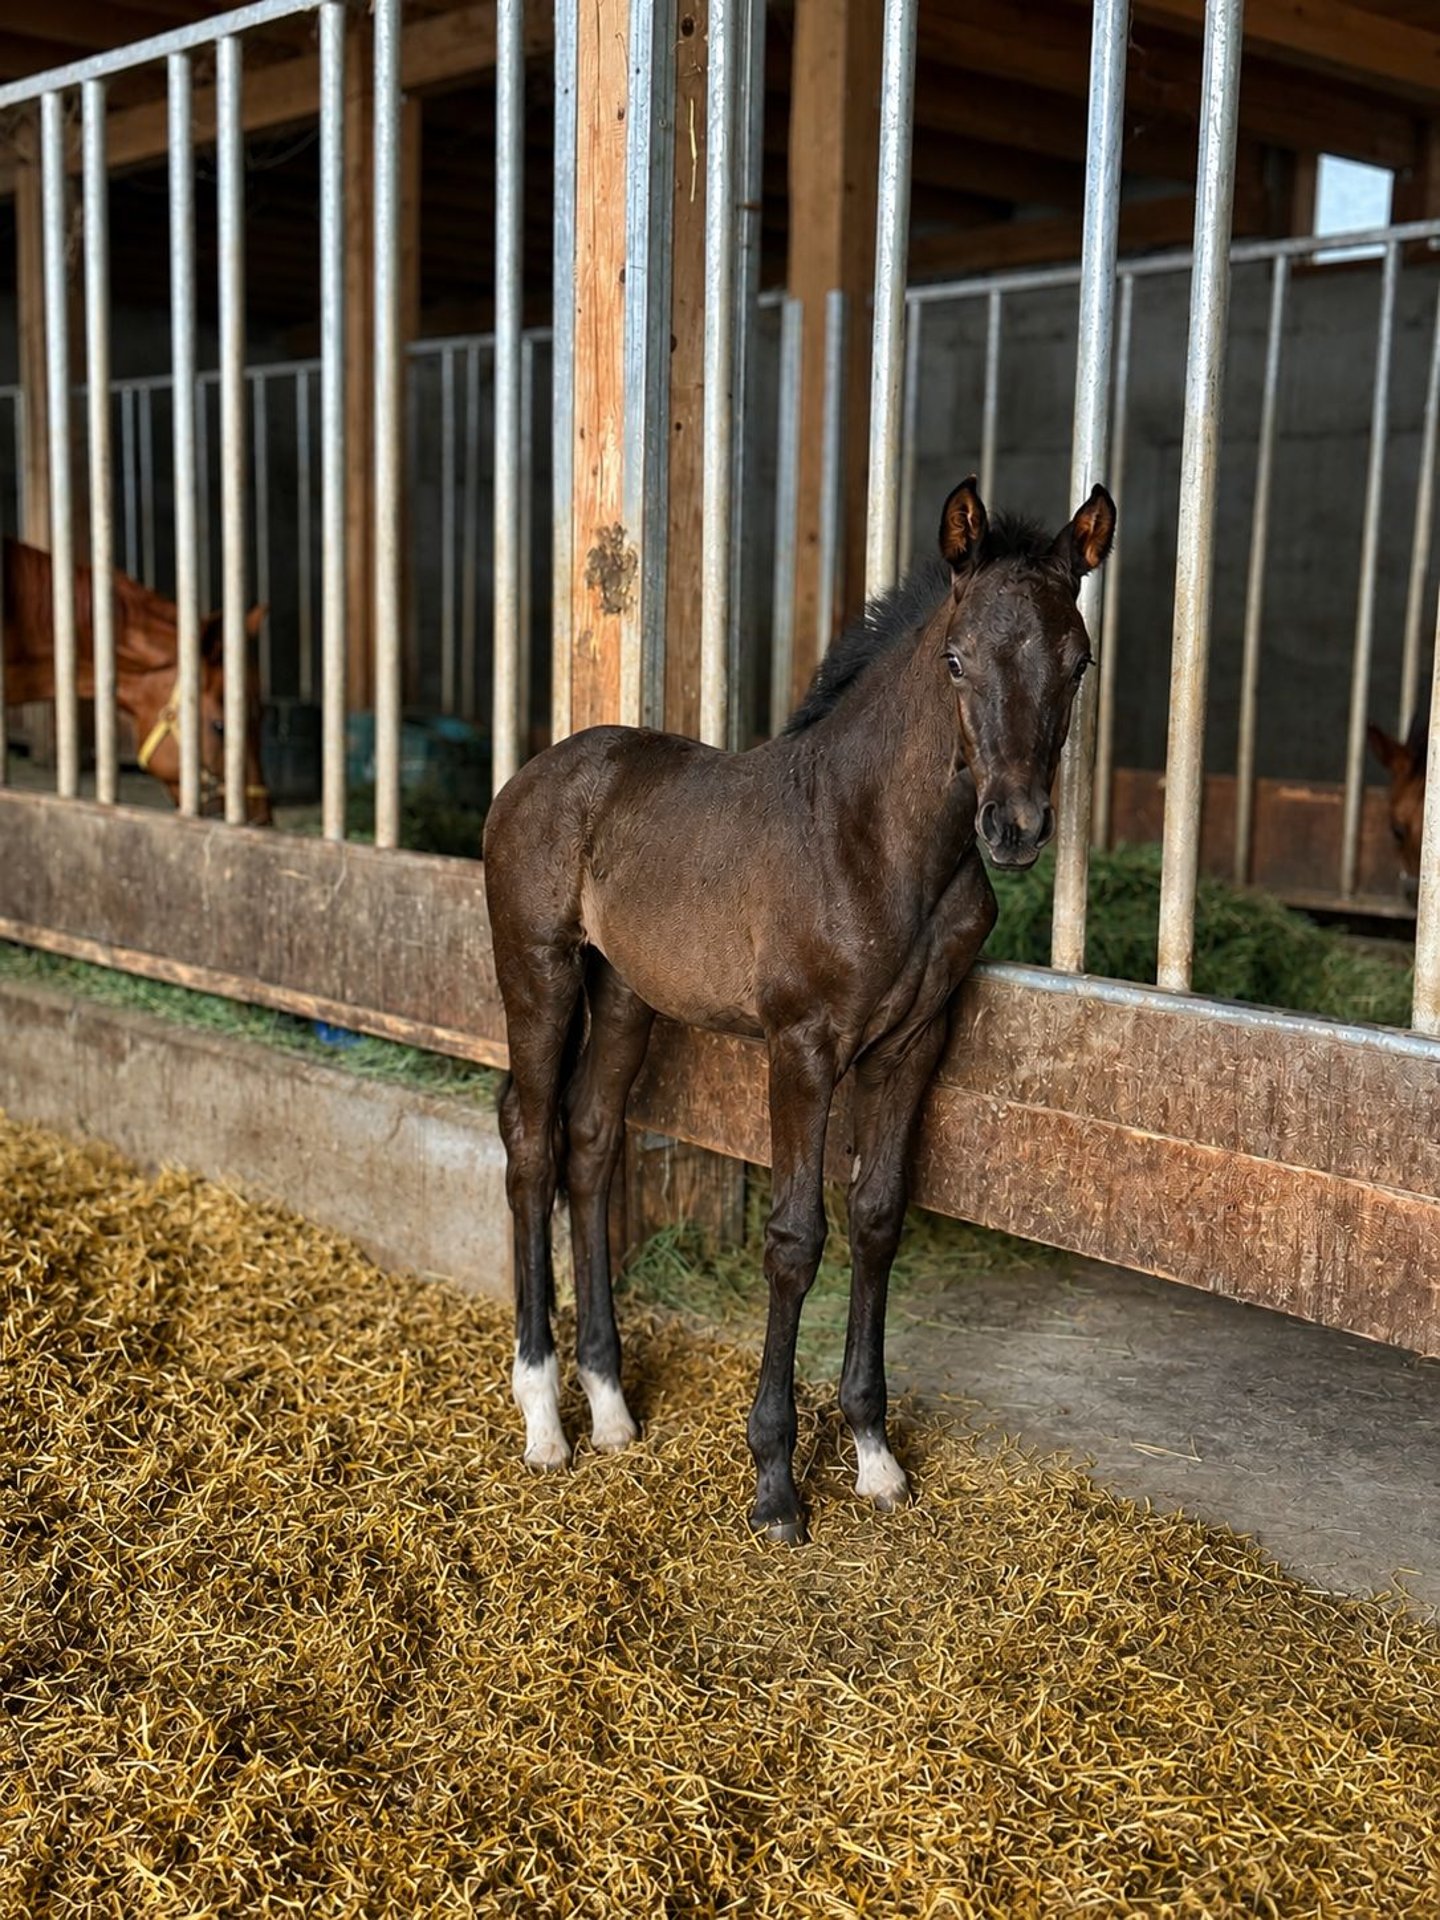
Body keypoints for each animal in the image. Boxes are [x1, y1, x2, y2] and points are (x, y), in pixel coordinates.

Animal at [483, 476, 1115, 1542]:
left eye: (1078, 663)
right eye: (955, 658)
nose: (1016, 827)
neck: (881, 845)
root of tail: (538, 773)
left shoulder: (913, 1046)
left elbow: (877, 1217)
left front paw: (875, 1455)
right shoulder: (804, 1048)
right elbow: (794, 1240)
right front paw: (776, 1484)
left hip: (625, 995)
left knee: (592, 1140)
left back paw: (610, 1408)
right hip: (539, 972)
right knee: (531, 1142)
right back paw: (543, 1421)